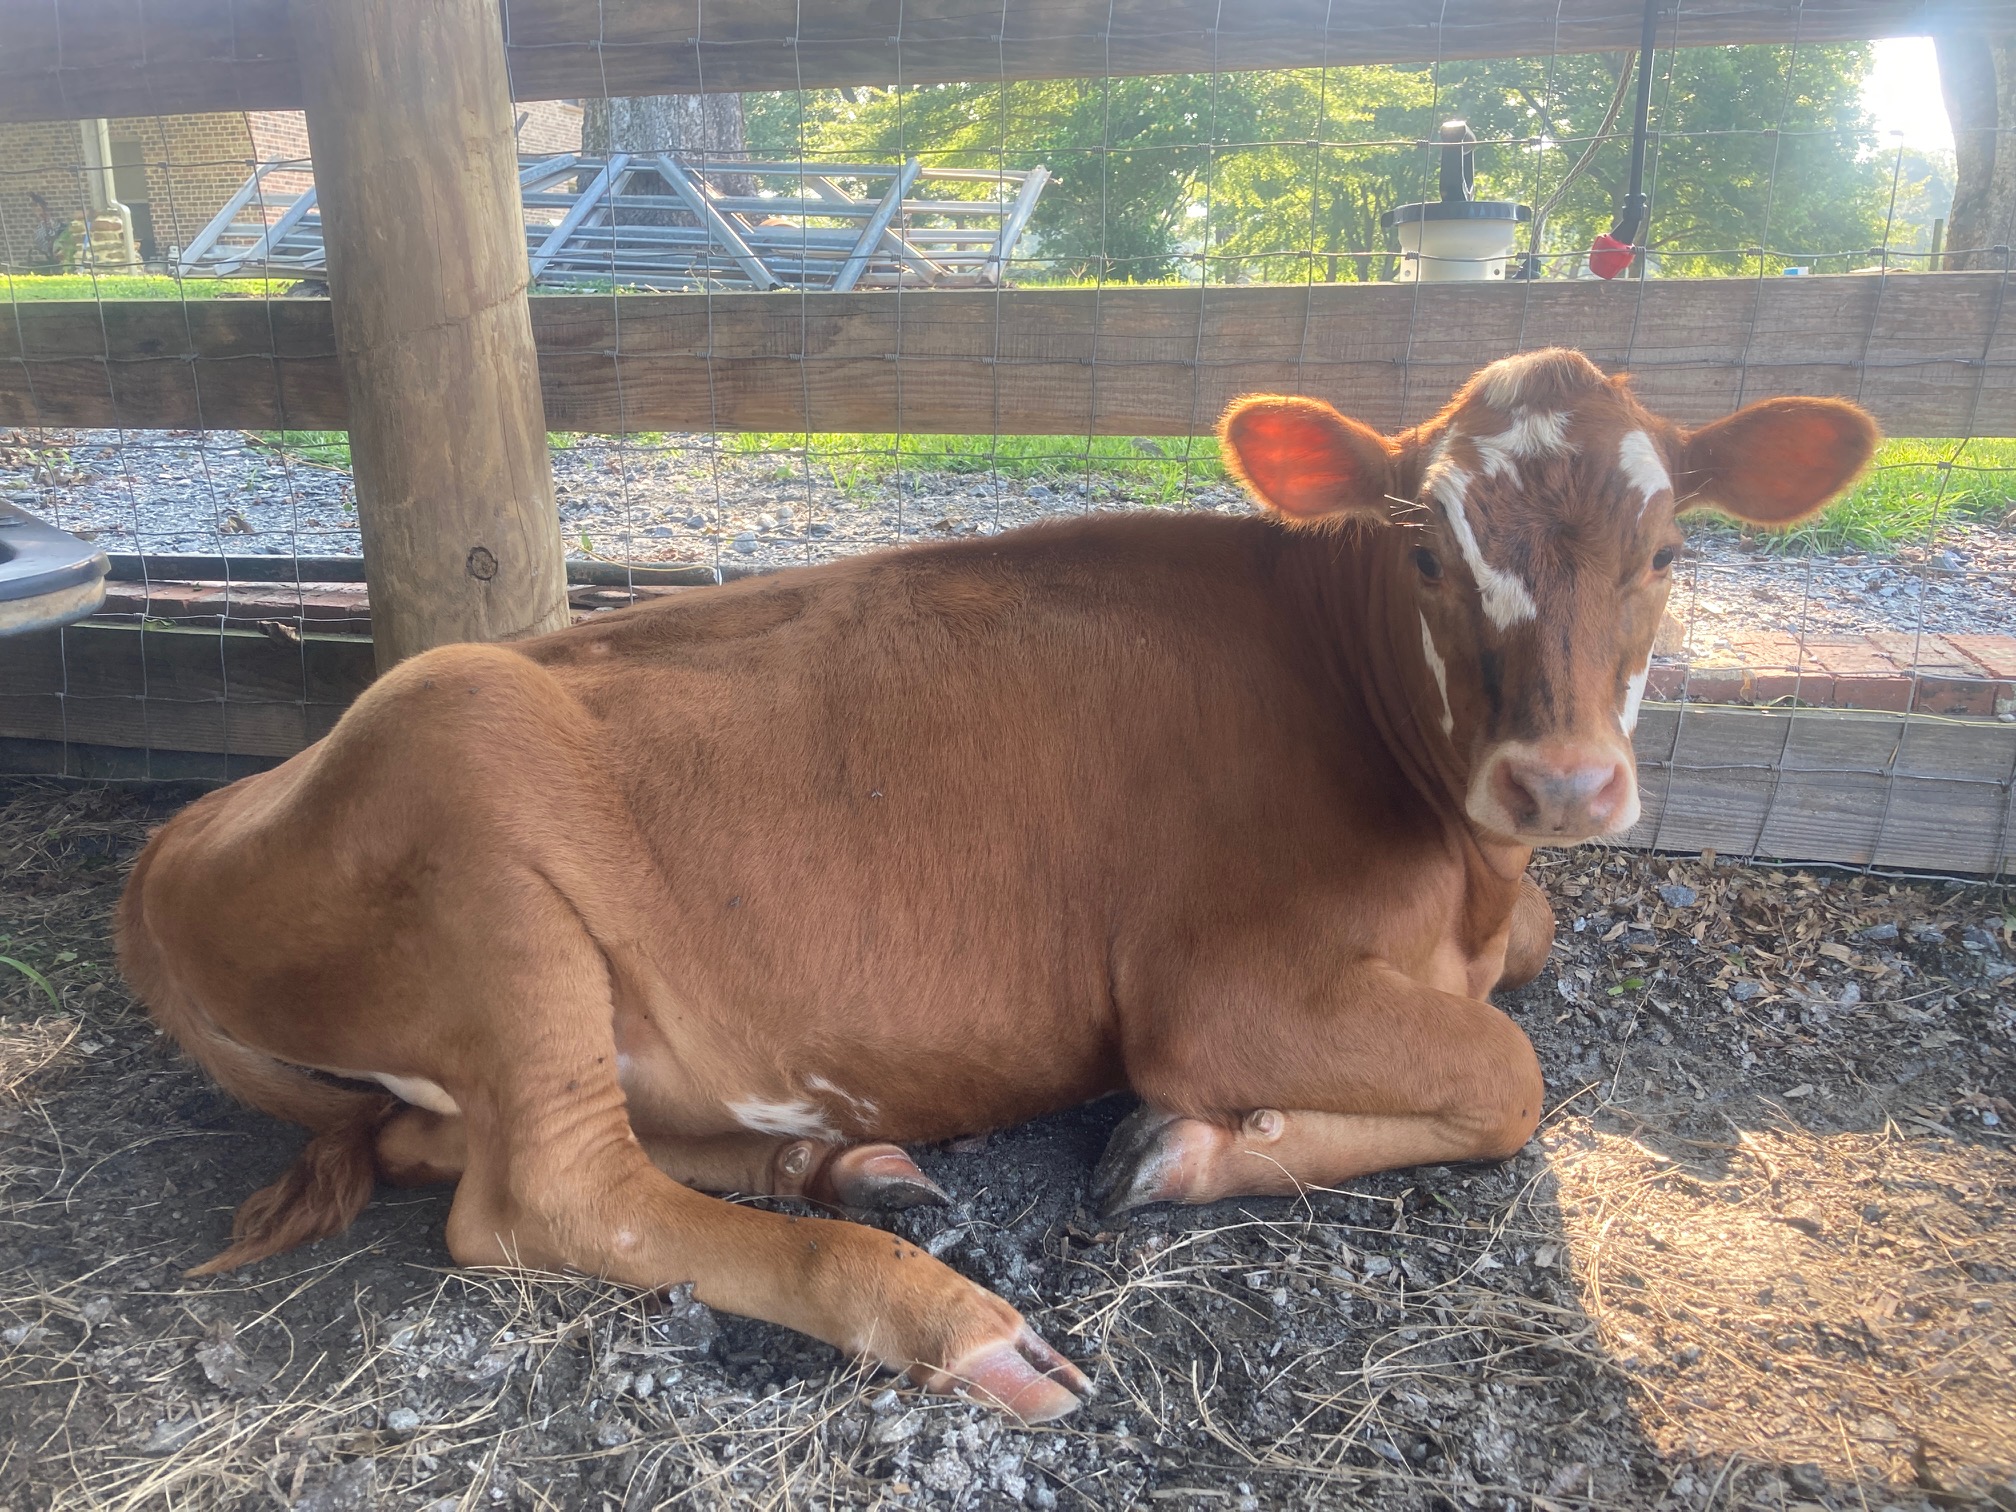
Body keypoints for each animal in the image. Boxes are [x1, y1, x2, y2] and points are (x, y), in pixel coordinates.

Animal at [117, 348, 1876, 1423]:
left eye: (1671, 551)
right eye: (1431, 551)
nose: (1565, 781)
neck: (1463, 870)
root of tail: (177, 840)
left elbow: (1532, 971)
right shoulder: (1212, 993)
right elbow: (1507, 1077)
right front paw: (1187, 1147)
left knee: (460, 1145)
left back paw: (856, 1167)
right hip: (475, 804)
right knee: (541, 1193)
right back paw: (947, 1313)